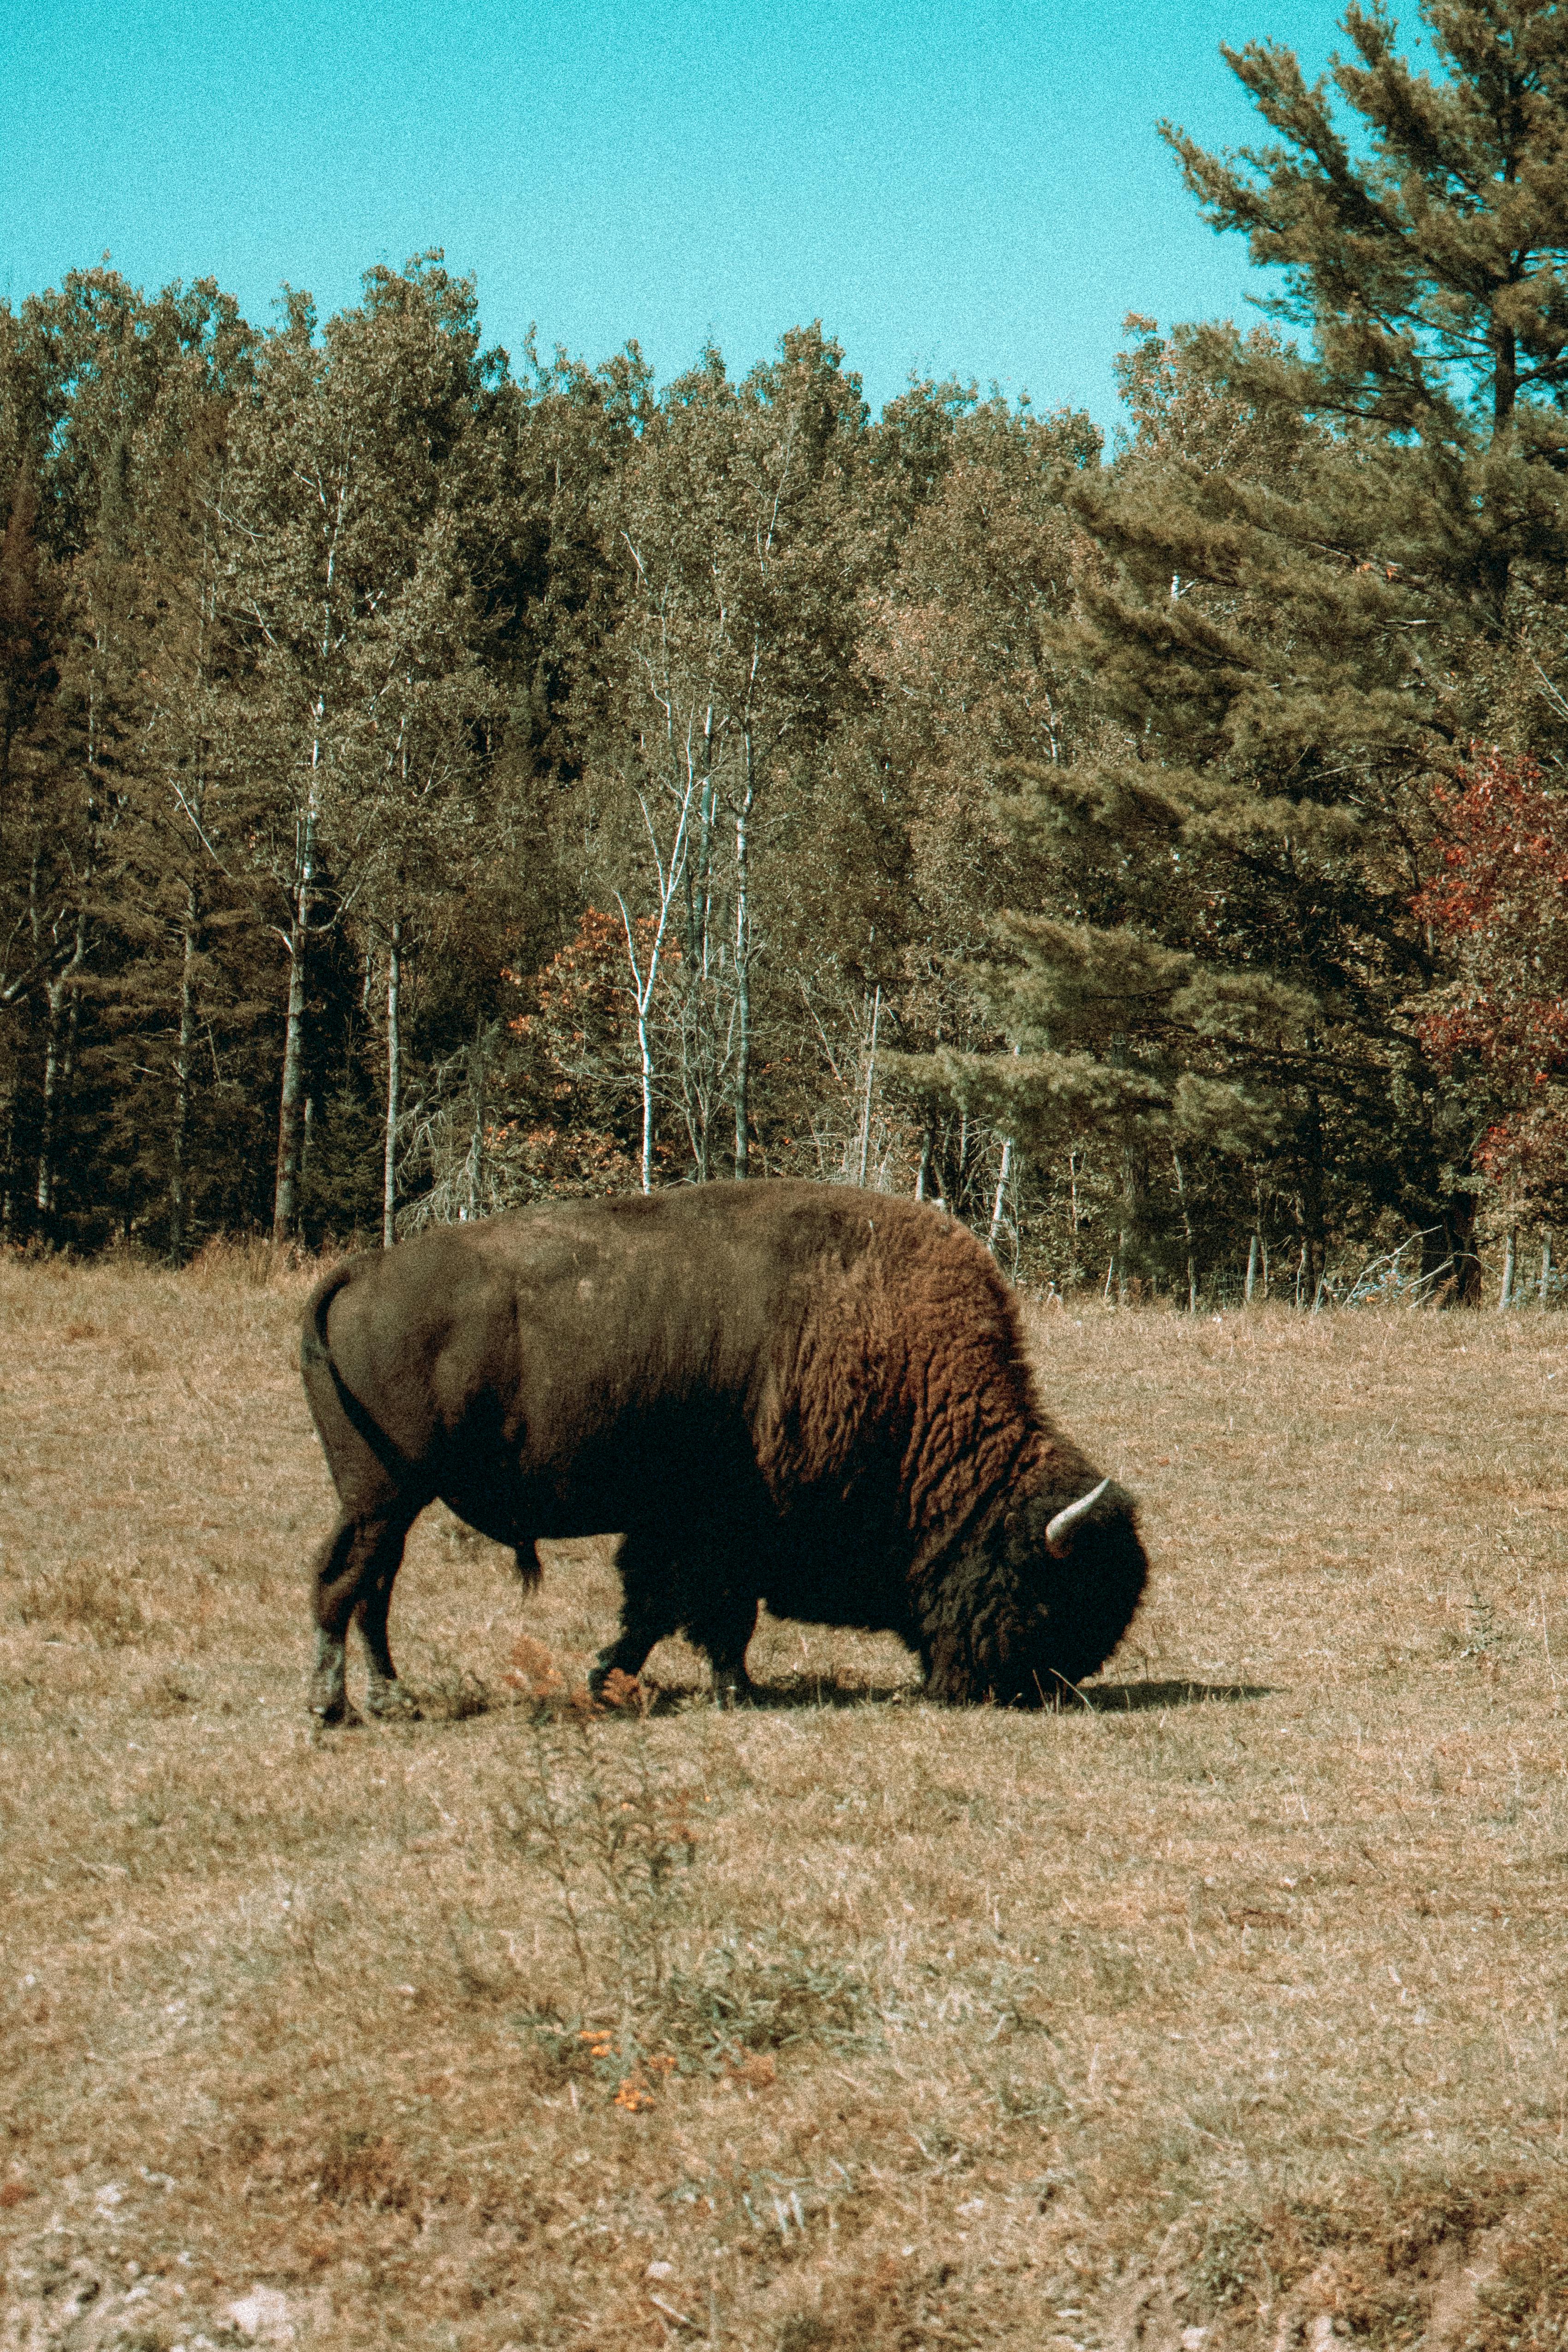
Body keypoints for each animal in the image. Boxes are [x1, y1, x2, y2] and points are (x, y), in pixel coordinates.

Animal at [299, 1180, 1147, 1723]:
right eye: (1053, 1590)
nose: (1036, 1689)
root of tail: (361, 1271)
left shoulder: (671, 1530)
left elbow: (652, 1610)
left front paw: (608, 1678)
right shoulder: (727, 1531)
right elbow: (713, 1615)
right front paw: (736, 1690)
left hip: (389, 1499)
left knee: (374, 1588)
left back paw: (390, 1700)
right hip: (381, 1493)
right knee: (346, 1580)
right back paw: (331, 1706)